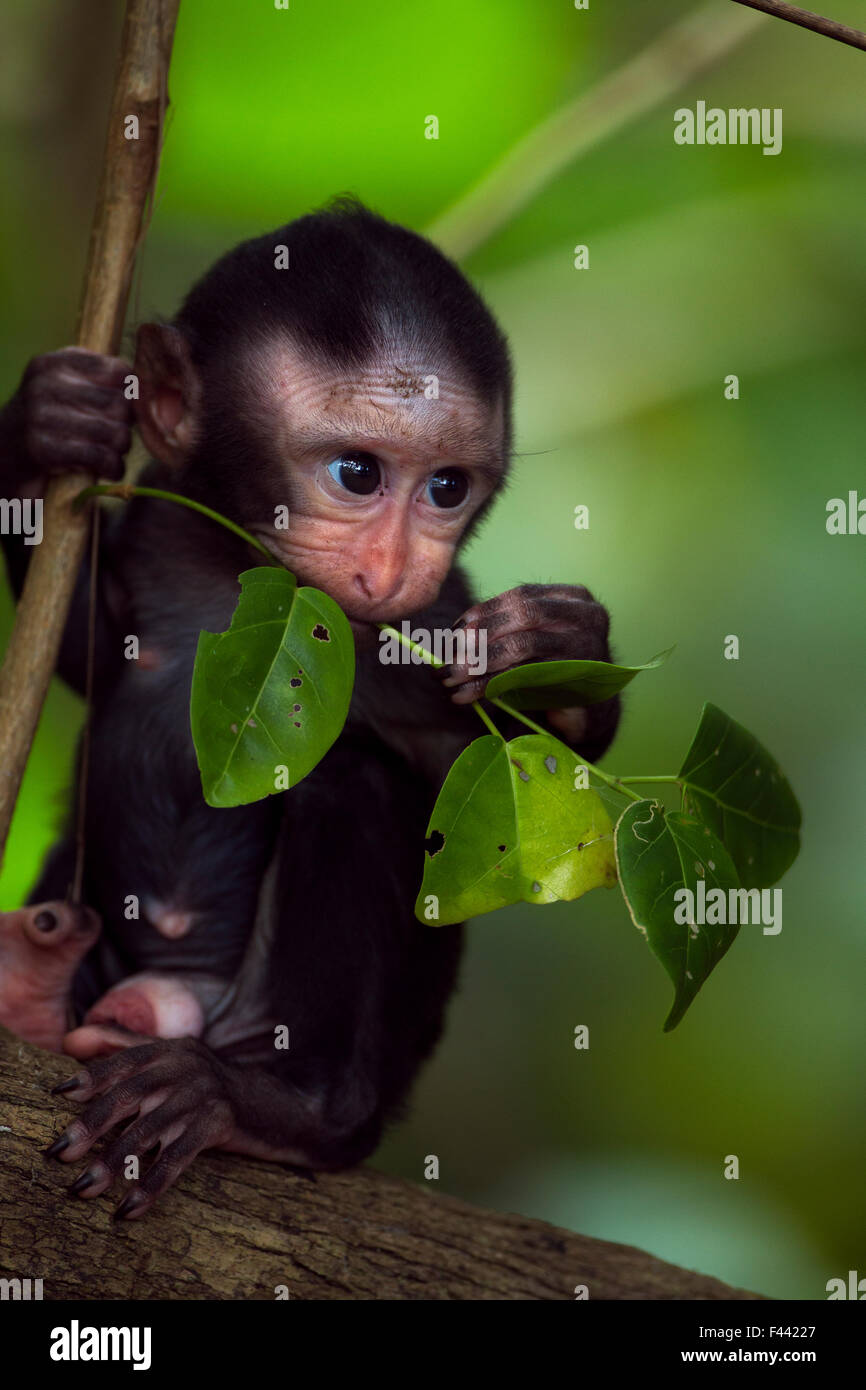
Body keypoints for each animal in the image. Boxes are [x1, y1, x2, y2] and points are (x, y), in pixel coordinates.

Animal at [0, 200, 620, 1218]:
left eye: (447, 487)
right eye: (357, 473)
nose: (390, 570)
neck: (240, 578)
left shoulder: (420, 634)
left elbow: (495, 774)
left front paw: (557, 653)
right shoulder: (158, 526)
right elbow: (92, 648)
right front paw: (46, 423)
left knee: (354, 781)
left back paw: (280, 1105)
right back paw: (35, 994)